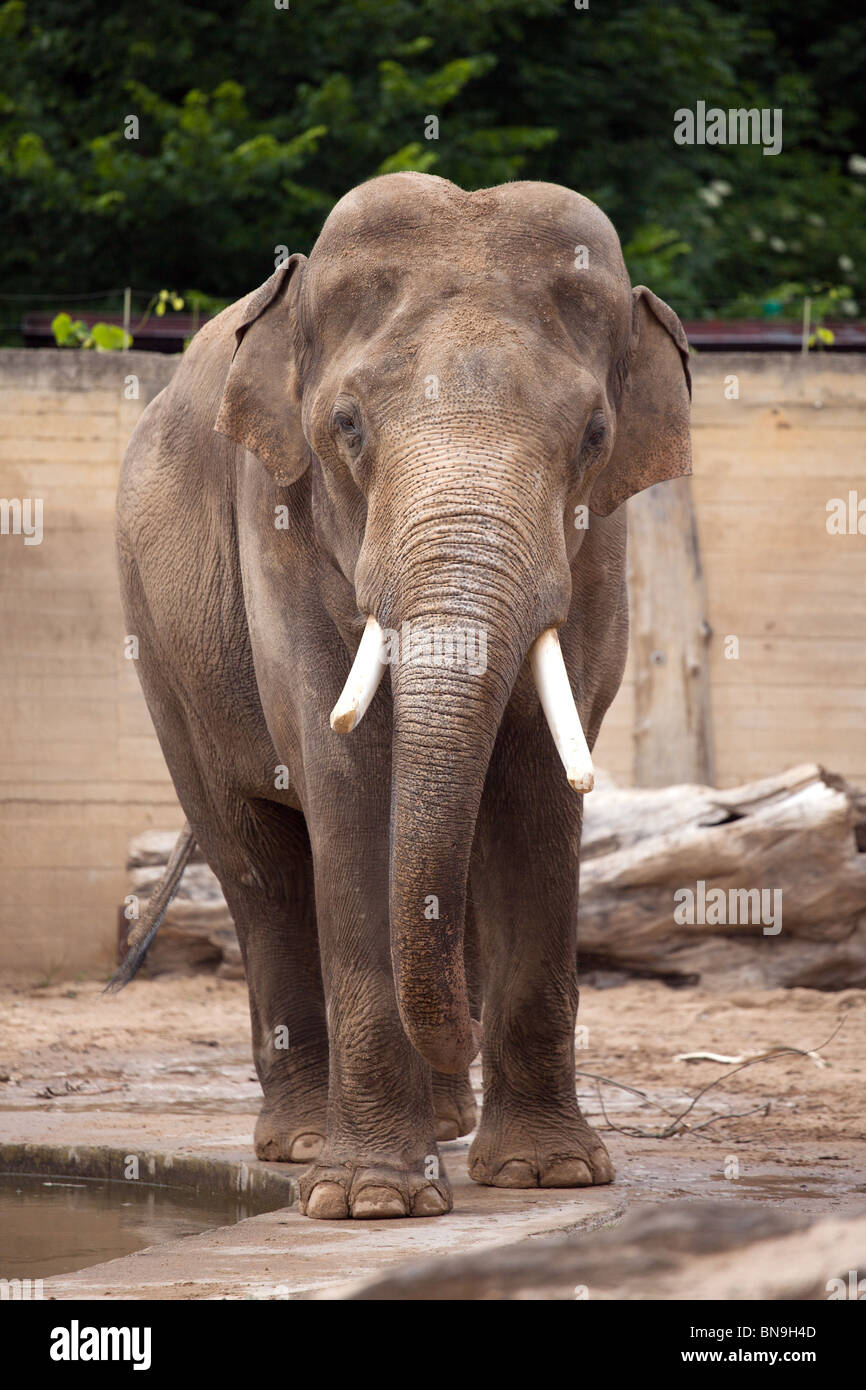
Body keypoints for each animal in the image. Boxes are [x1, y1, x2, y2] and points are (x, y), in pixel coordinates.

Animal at [114, 172, 692, 1220]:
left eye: (594, 436)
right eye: (346, 428)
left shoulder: (600, 551)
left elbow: (539, 792)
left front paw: (547, 1175)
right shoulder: (279, 522)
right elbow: (345, 781)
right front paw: (368, 1201)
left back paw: (447, 1124)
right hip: (159, 639)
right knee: (258, 867)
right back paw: (305, 1141)